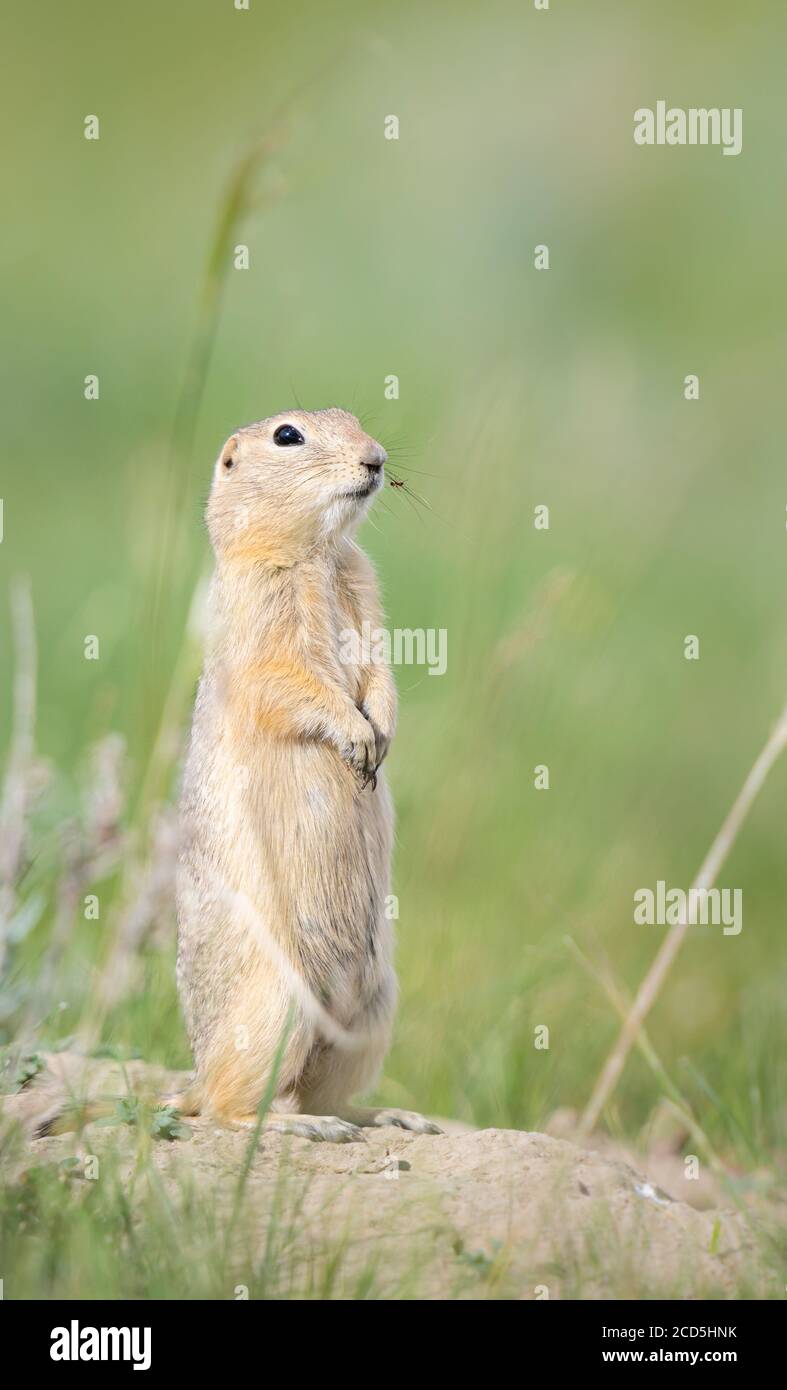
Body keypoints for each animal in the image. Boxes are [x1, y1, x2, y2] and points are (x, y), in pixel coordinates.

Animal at [175, 409, 440, 1142]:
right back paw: (297, 1128)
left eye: (352, 418)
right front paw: (356, 736)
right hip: (277, 1003)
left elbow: (380, 669)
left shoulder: (366, 589)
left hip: (375, 1009)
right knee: (227, 1106)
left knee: (321, 1090)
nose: (377, 459)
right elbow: (288, 683)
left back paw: (386, 1116)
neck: (319, 555)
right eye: (288, 435)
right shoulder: (257, 620)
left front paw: (380, 730)